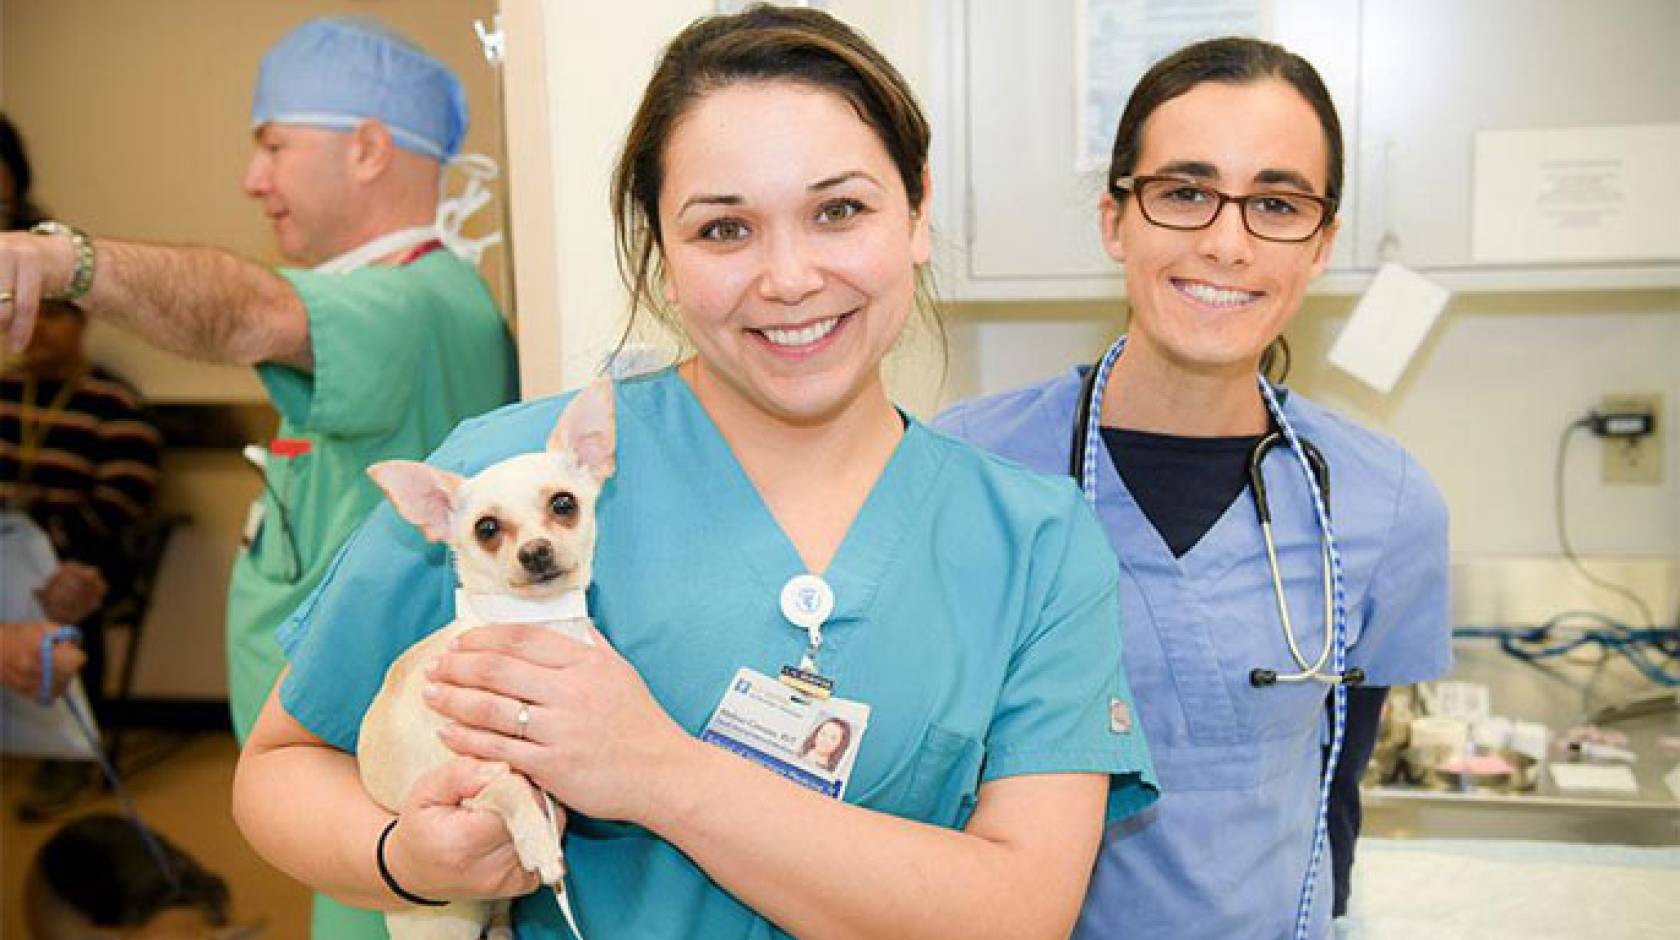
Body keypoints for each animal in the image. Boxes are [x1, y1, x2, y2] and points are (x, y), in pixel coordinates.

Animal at [357, 377, 614, 933]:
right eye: (487, 529)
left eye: (564, 504)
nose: (535, 551)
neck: (537, 623)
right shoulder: (471, 776)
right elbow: (510, 787)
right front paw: (539, 842)